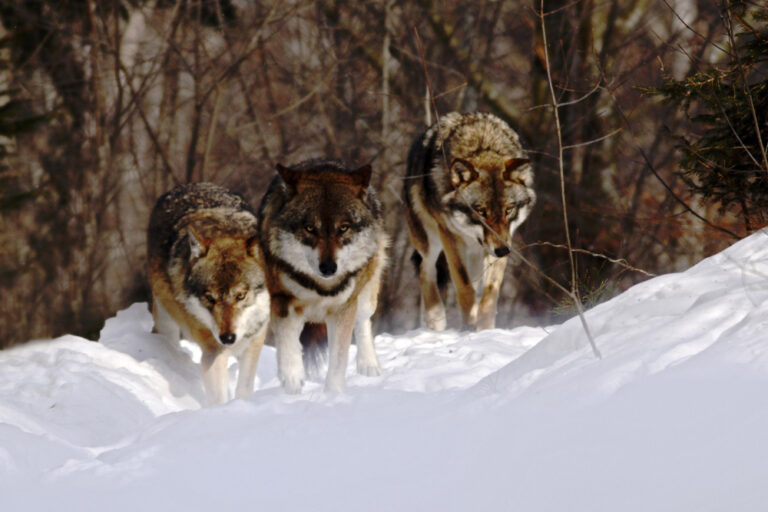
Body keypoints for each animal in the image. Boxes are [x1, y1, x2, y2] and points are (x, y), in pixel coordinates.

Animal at [147, 183, 270, 405]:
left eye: (241, 295)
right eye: (210, 298)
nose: (227, 338)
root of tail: (186, 186)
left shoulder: (254, 341)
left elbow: (244, 389)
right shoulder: (214, 352)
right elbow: (218, 398)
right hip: (166, 322)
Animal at [257, 158, 388, 394]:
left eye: (343, 228)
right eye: (310, 228)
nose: (328, 267)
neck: (320, 287)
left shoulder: (343, 309)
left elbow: (338, 360)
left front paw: (333, 394)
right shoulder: (282, 302)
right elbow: (288, 345)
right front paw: (292, 382)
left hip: (365, 297)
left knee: (363, 321)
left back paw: (369, 365)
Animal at [404, 112, 535, 331]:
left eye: (508, 210)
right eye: (481, 211)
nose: (502, 251)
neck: (481, 145)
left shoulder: (506, 239)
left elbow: (490, 291)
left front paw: (484, 329)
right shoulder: (449, 235)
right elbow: (463, 284)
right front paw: (469, 322)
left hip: (476, 255)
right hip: (429, 241)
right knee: (425, 269)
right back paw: (436, 320)